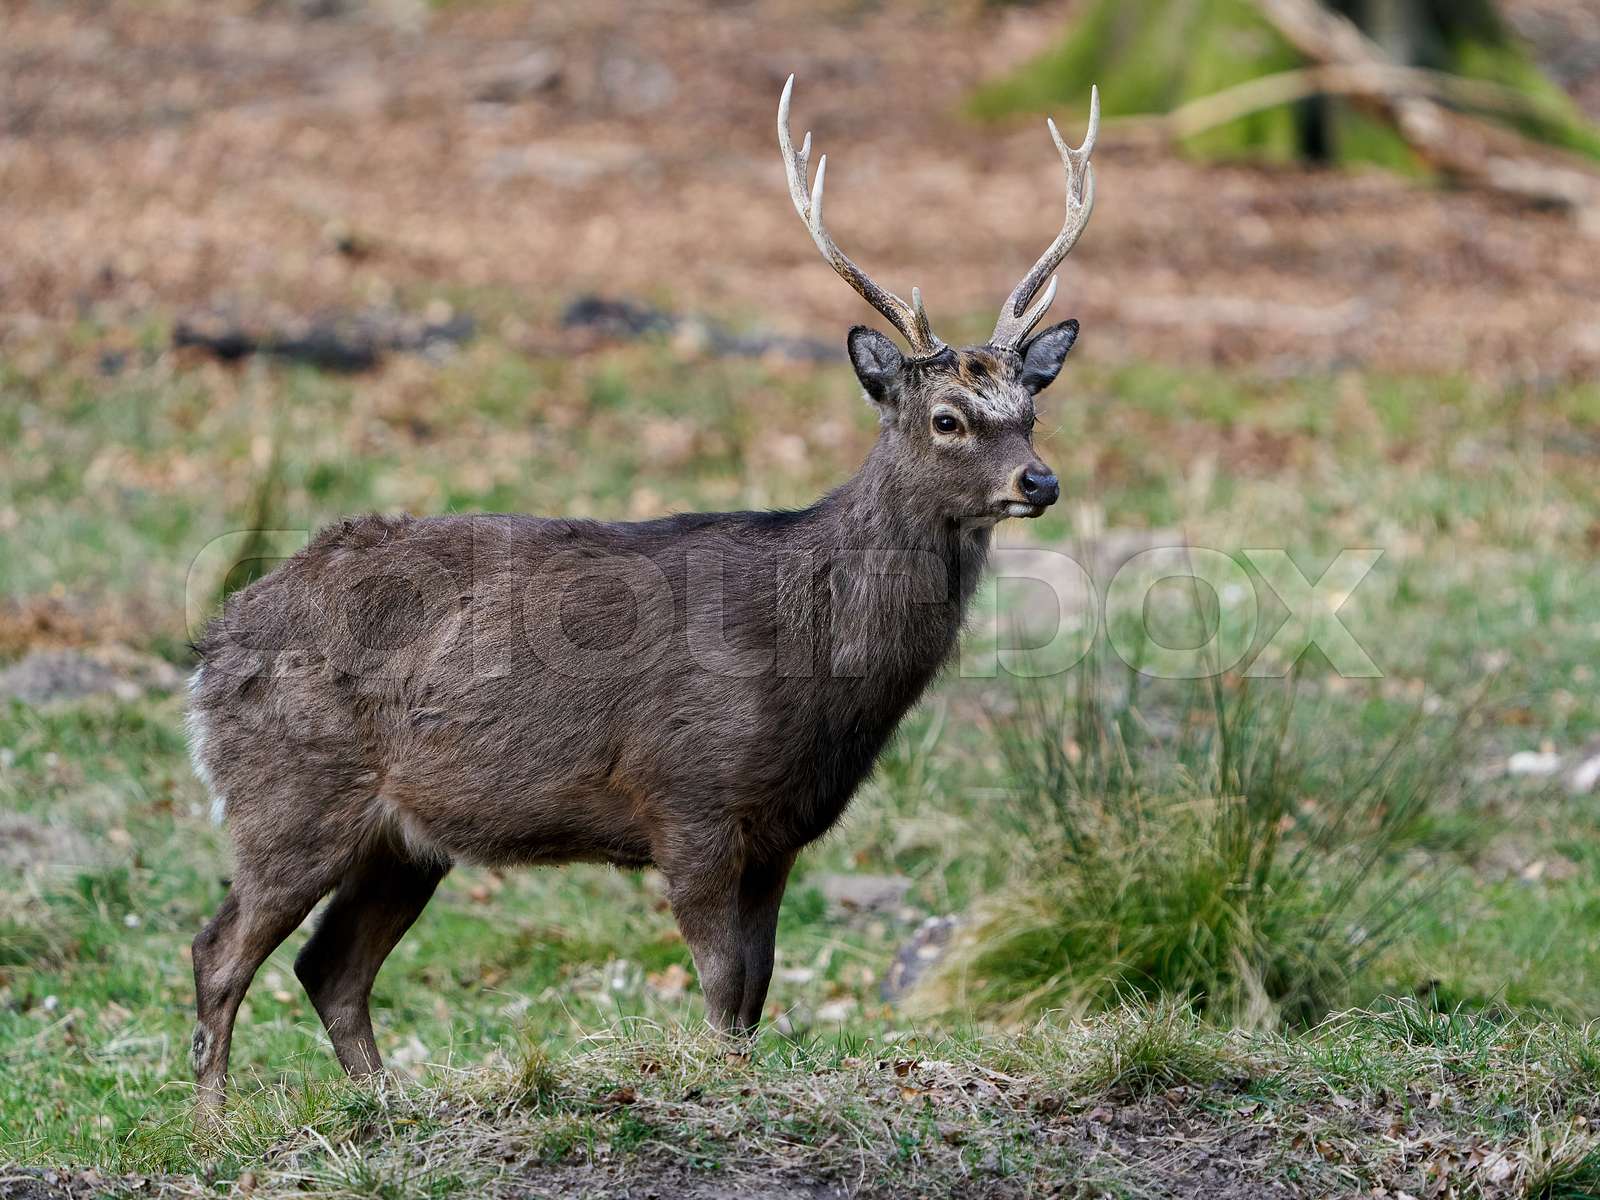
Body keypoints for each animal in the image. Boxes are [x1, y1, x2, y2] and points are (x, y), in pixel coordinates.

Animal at [185, 76, 1099, 1119]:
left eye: (1031, 412)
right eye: (948, 419)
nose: (1039, 481)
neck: (812, 661)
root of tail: (214, 645)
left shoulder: (782, 831)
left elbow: (754, 992)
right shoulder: (686, 794)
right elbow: (720, 984)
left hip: (404, 839)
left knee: (330, 967)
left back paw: (387, 1104)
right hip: (287, 795)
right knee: (220, 952)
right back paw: (213, 1126)